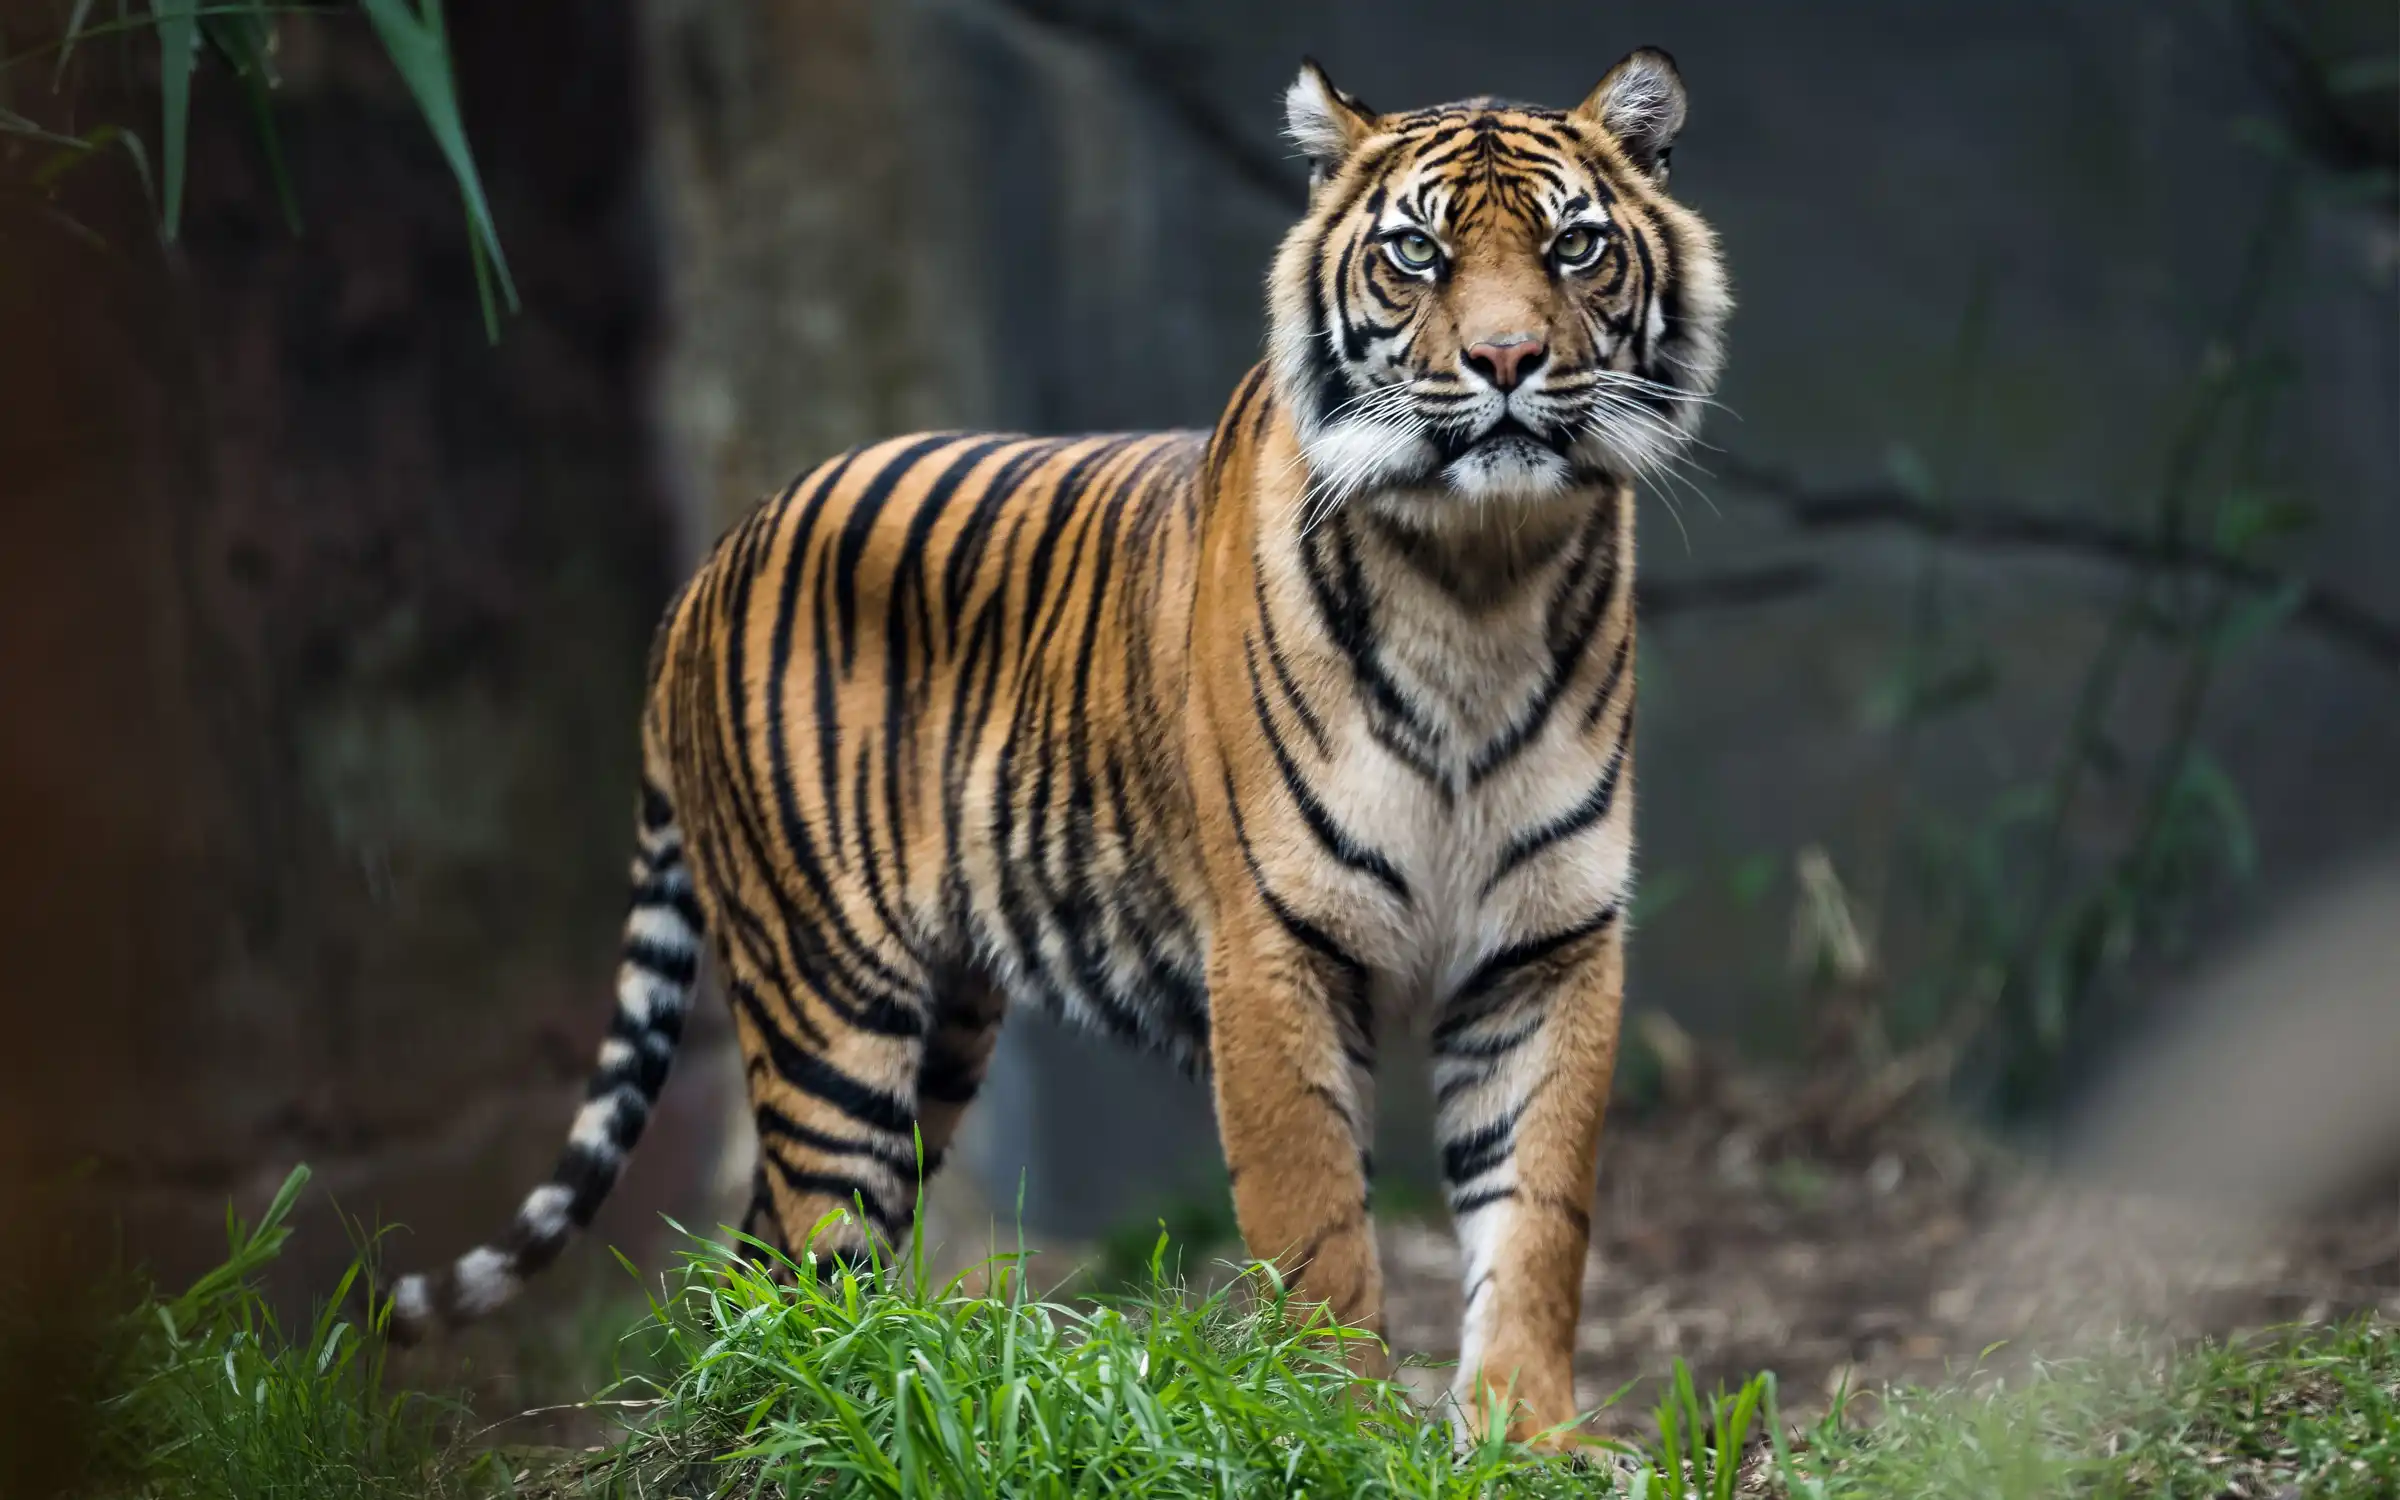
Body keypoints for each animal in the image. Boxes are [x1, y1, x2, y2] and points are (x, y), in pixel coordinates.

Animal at [390, 47, 1728, 1447]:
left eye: (1576, 247)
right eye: (1417, 252)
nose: (1507, 357)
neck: (1480, 577)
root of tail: (703, 573)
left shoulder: (1548, 946)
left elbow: (1538, 1217)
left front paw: (1530, 1437)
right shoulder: (1273, 951)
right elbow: (1318, 1231)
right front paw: (1342, 1434)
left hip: (942, 1025)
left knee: (763, 1256)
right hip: (829, 1005)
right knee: (810, 1237)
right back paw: (837, 1408)